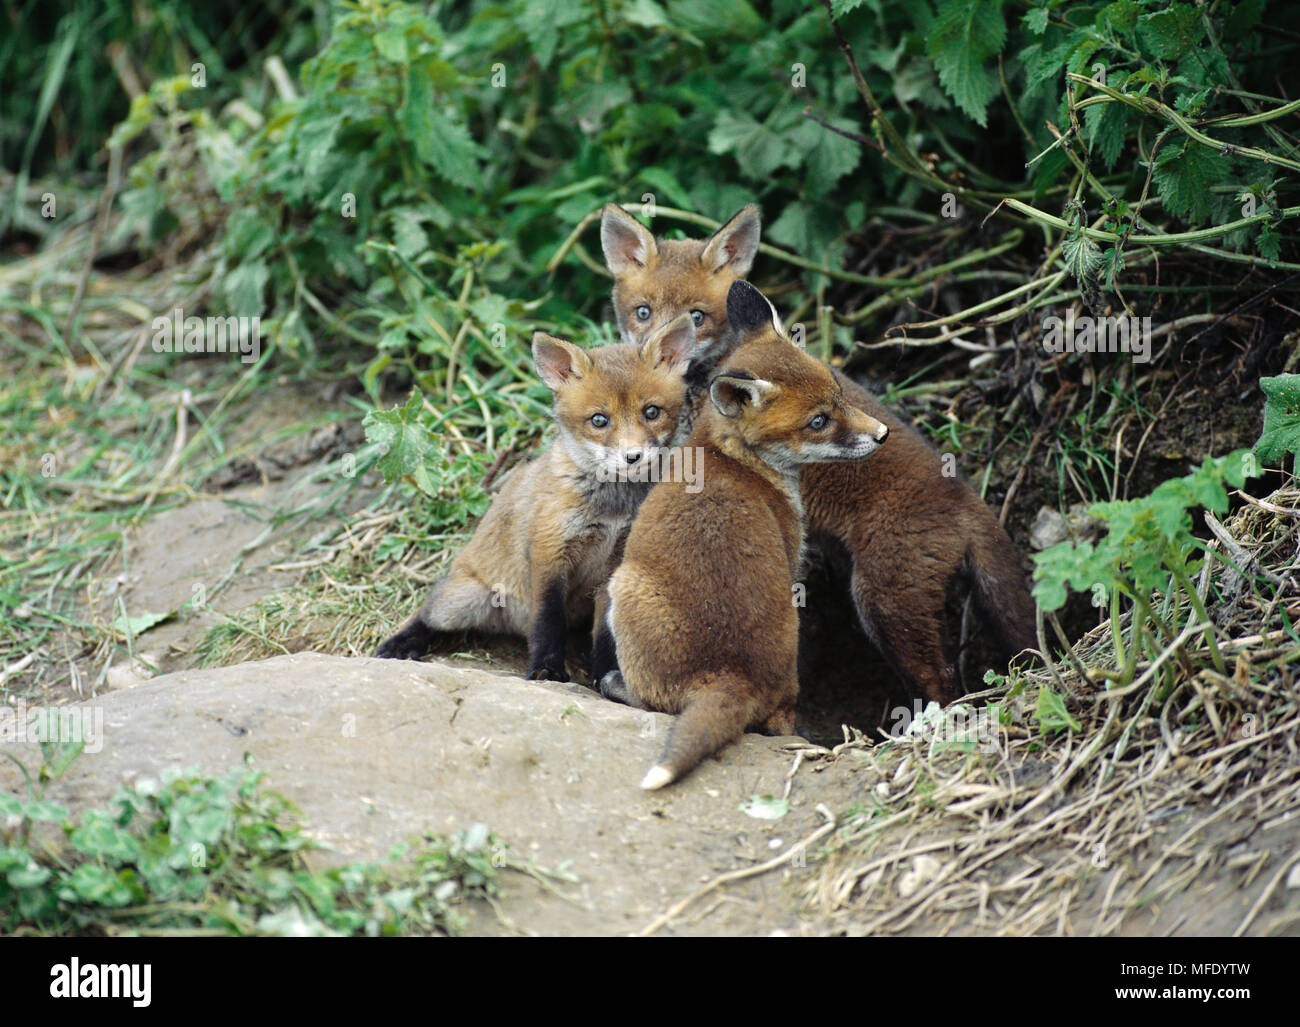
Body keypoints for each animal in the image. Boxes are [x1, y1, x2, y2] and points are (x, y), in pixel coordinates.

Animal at [374, 315, 695, 681]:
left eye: (652, 412)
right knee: (427, 612)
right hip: (463, 600)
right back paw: (400, 643)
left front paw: (605, 674)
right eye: (599, 420)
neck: (610, 511)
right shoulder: (549, 550)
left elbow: (605, 631)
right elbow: (546, 622)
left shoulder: (615, 563)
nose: (633, 457)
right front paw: (546, 669)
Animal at [600, 202, 1036, 706]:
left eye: (697, 316)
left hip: (884, 601)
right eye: (643, 312)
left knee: (940, 679)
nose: (662, 352)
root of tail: (965, 494)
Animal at [602, 280, 890, 789]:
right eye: (819, 421)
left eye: (839, 394)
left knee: (656, 702)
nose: (882, 433)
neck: (730, 457)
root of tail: (733, 675)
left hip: (623, 587)